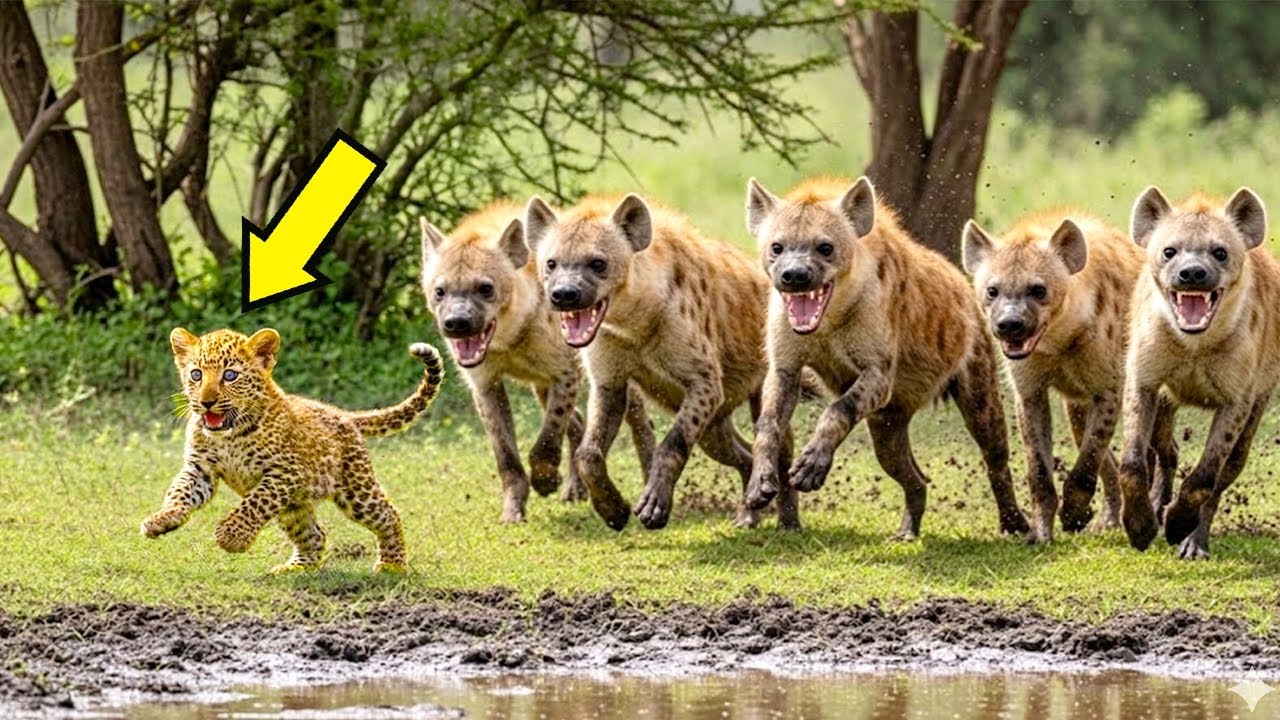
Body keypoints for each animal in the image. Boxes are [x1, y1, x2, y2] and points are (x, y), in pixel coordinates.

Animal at [141, 327, 444, 573]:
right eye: (196, 374)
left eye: (230, 375)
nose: (206, 402)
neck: (230, 436)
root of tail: (345, 415)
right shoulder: (200, 469)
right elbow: (179, 493)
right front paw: (161, 520)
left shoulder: (284, 473)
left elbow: (254, 502)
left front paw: (231, 536)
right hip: (293, 506)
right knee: (315, 533)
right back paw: (297, 567)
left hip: (356, 491)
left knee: (388, 514)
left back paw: (393, 564)